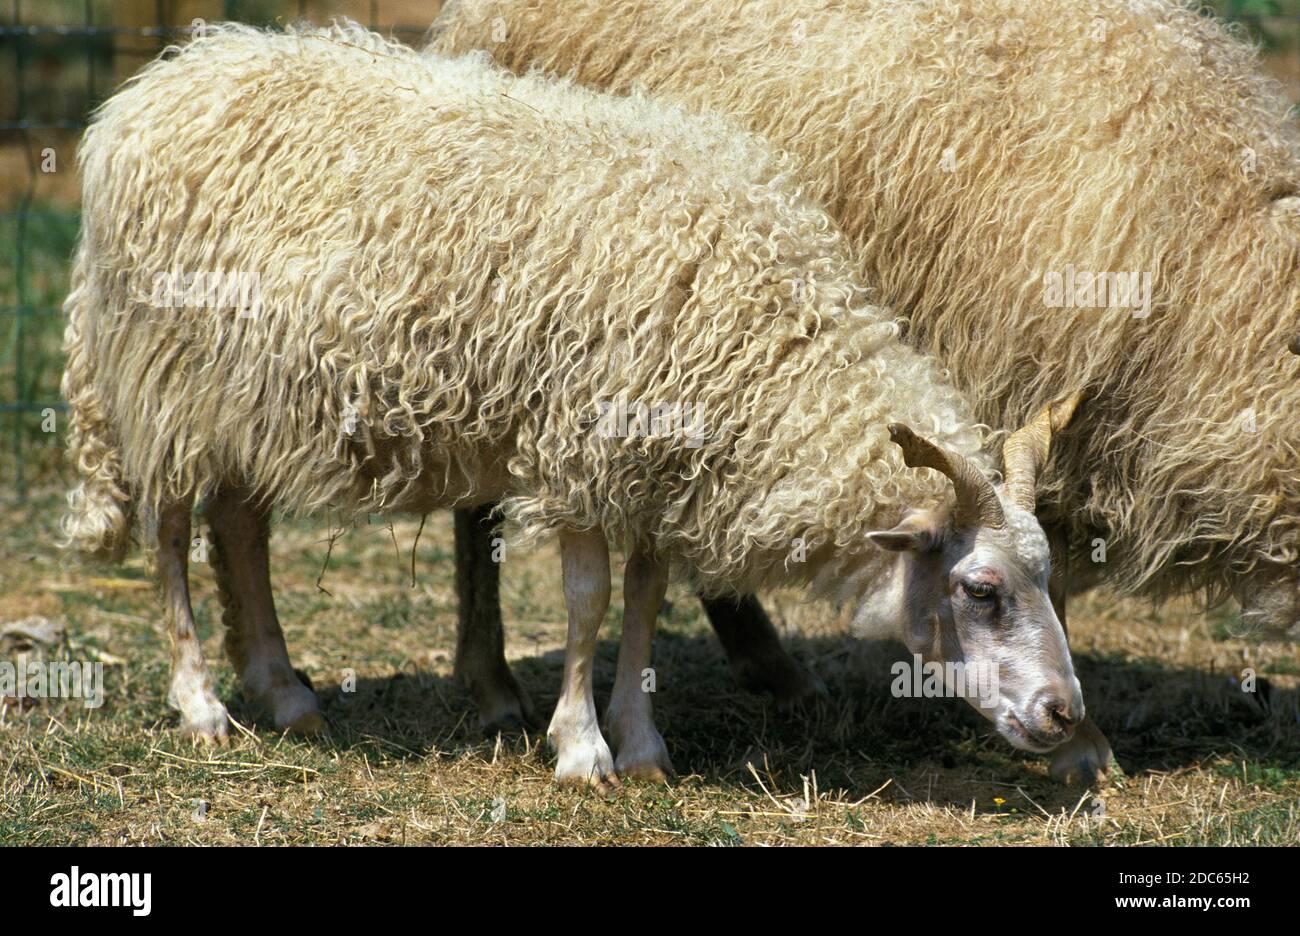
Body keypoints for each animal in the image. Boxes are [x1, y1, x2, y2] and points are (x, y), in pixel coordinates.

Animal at [61, 21, 1083, 786]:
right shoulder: (583, 443)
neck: (764, 336)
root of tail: (160, 81)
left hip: (252, 398)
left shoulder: (659, 462)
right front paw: (582, 747)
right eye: (982, 590)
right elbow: (588, 601)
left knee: (238, 527)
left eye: (1048, 576)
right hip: (164, 376)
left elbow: (645, 597)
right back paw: (201, 704)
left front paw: (641, 741)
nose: (1063, 713)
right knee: (169, 531)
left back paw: (284, 693)